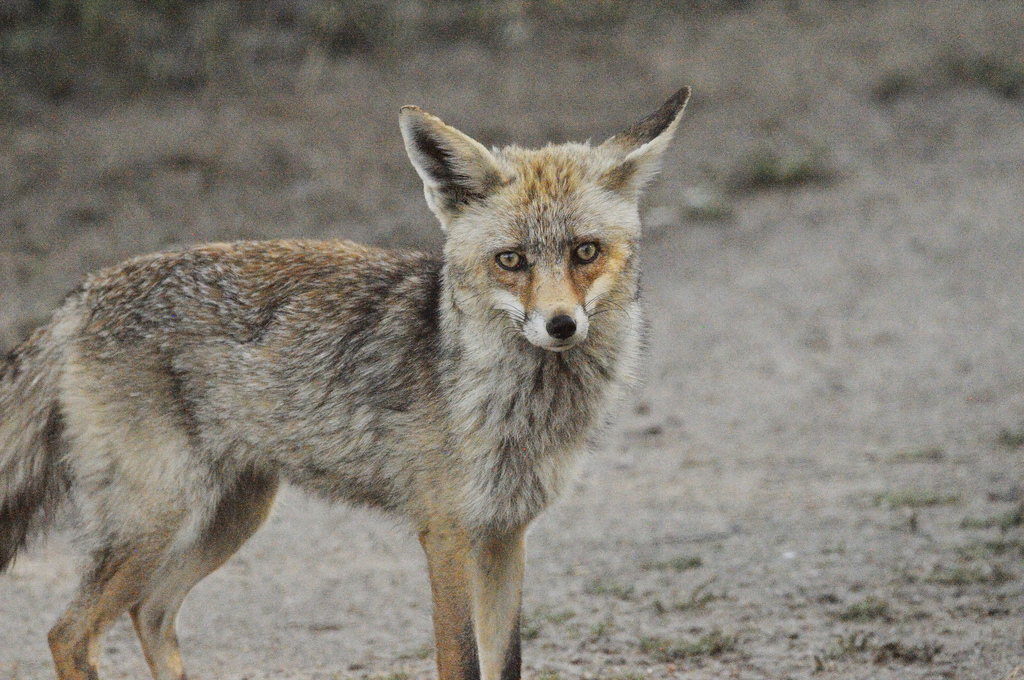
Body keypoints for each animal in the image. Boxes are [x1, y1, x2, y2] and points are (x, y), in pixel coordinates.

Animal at [0, 86, 690, 680]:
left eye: (584, 251)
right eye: (511, 260)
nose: (560, 325)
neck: (511, 401)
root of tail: (80, 296)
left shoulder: (505, 532)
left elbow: (508, 663)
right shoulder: (446, 533)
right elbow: (461, 661)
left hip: (232, 515)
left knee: (150, 612)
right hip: (156, 518)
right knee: (69, 634)